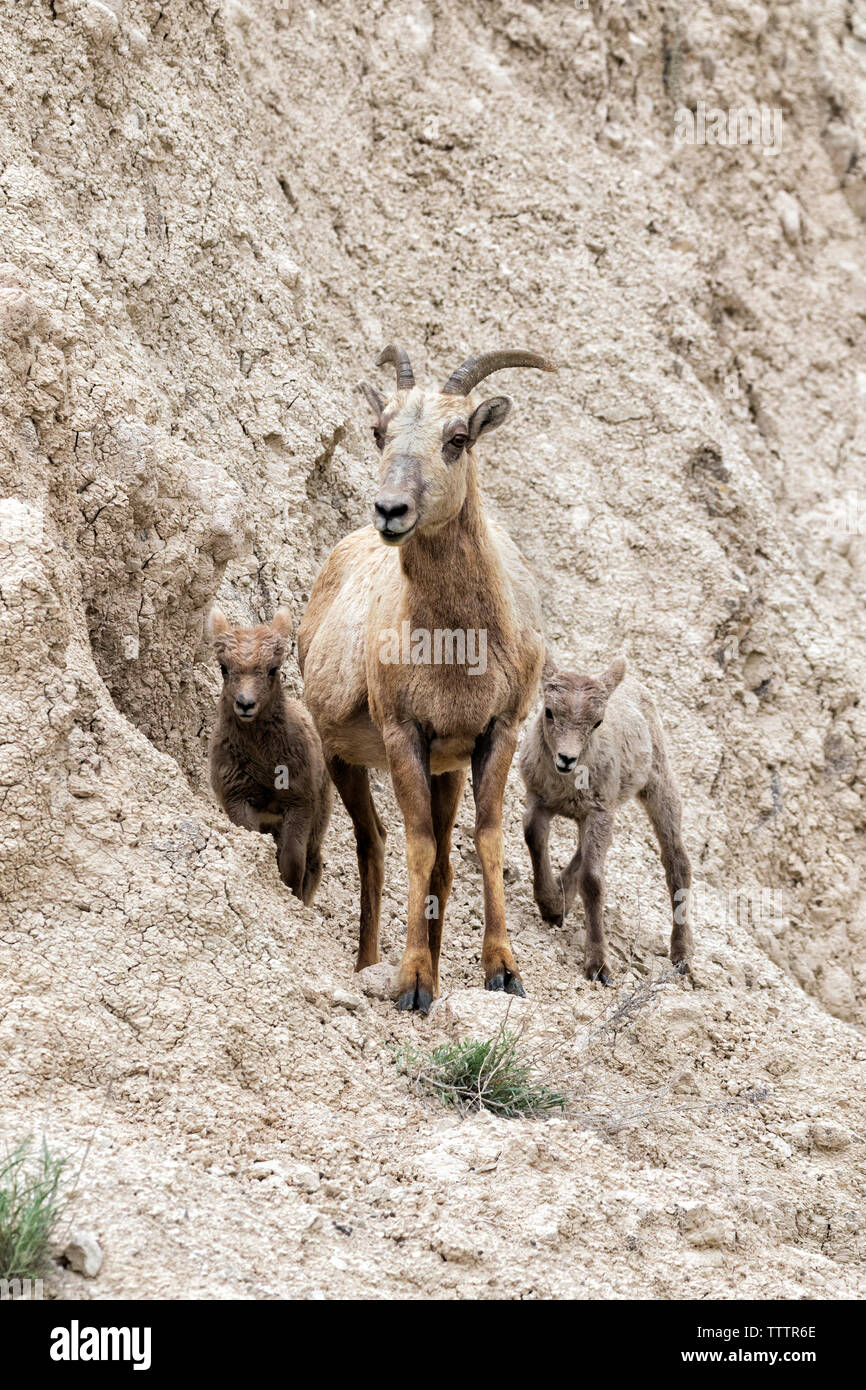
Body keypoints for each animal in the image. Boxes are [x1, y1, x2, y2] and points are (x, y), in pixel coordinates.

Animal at [208, 607, 332, 905]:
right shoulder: (239, 800)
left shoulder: (299, 803)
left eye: (273, 669)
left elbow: (293, 862)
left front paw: (292, 896)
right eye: (224, 668)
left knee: (313, 863)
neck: (264, 766)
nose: (245, 704)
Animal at [298, 345, 554, 1012]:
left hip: (449, 770)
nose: (392, 511)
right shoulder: (403, 734)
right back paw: (372, 965)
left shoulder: (495, 733)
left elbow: (483, 842)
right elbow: (417, 844)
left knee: (438, 859)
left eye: (458, 438)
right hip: (344, 756)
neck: (456, 646)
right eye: (379, 431)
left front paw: (503, 972)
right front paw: (412, 984)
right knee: (375, 844)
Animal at [519, 656, 694, 983]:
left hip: (658, 789)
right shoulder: (540, 801)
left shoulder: (597, 814)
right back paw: (562, 895)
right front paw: (551, 906)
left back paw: (682, 957)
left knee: (677, 861)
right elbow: (534, 838)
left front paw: (599, 968)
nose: (566, 759)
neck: (566, 784)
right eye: (549, 711)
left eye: (597, 722)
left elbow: (592, 881)